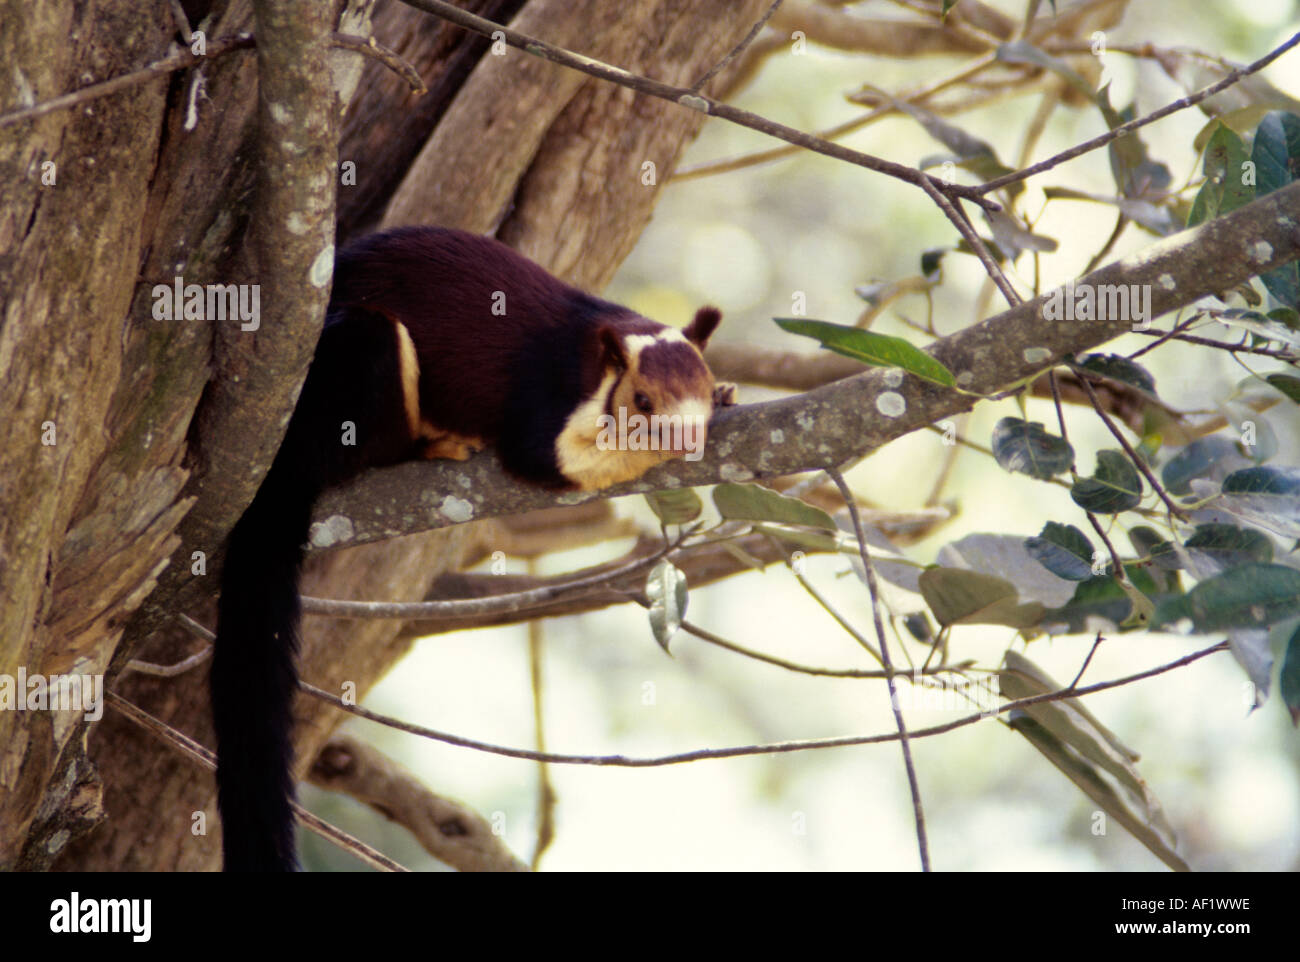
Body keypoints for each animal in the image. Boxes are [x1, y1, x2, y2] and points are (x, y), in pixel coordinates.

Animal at [211, 226, 733, 870]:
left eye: (701, 387)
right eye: (641, 401)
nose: (688, 439)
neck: (594, 358)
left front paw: (730, 394)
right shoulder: (541, 409)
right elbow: (549, 458)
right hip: (354, 360)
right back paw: (433, 444)